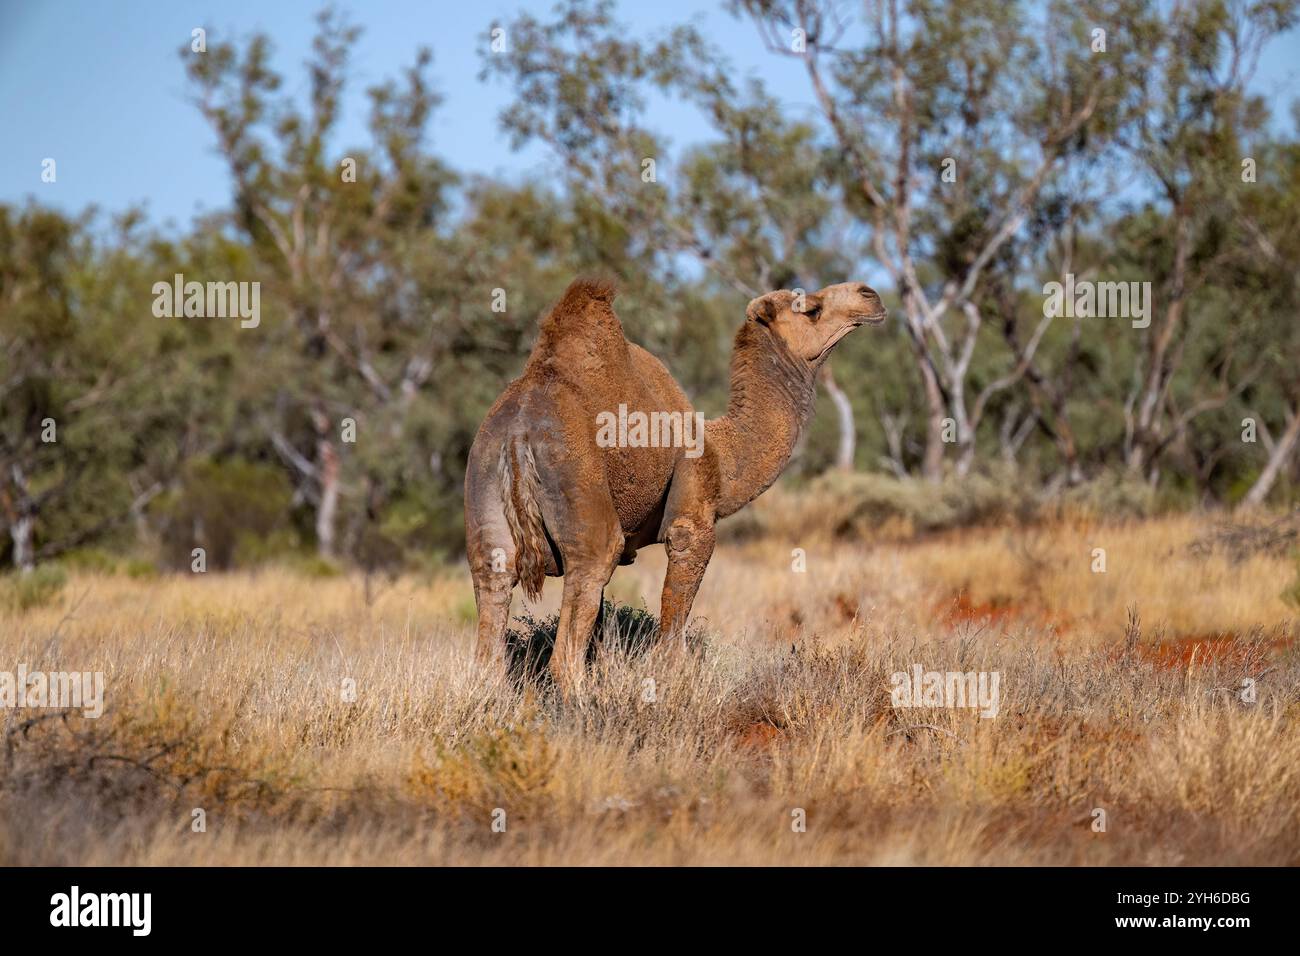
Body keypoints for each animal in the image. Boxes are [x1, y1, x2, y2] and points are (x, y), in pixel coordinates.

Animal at [464, 277, 886, 693]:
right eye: (809, 309)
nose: (870, 294)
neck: (719, 450)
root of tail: (519, 431)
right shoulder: (693, 510)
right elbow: (675, 606)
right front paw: (673, 679)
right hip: (577, 483)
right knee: (572, 629)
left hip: (483, 485)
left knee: (491, 611)